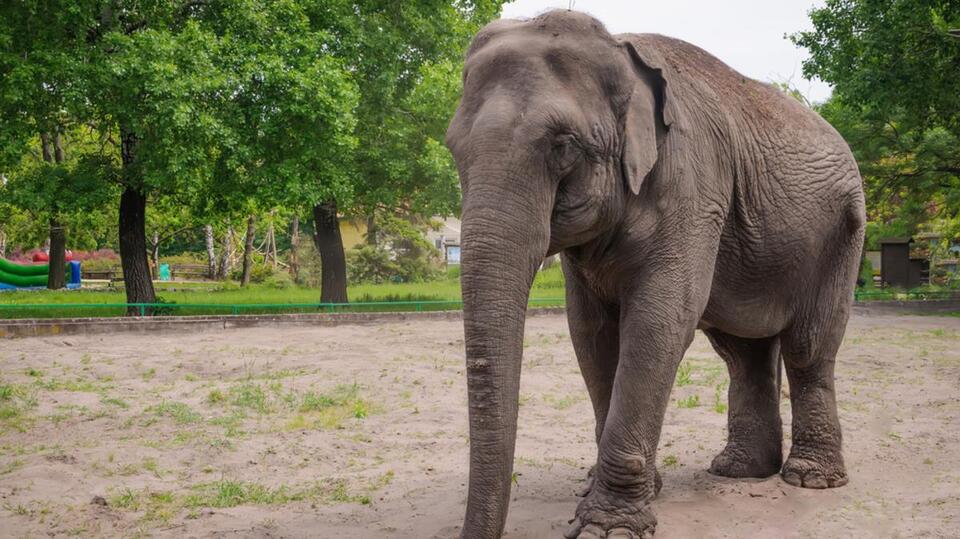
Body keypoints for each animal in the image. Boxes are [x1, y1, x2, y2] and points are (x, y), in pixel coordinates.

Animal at [445, 10, 865, 539]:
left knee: (809, 346)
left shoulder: (695, 185)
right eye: (453, 149)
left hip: (840, 236)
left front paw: (607, 527)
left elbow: (658, 322)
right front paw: (611, 490)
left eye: (564, 146)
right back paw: (738, 470)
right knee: (742, 353)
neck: (620, 48)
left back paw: (809, 479)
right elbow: (590, 331)